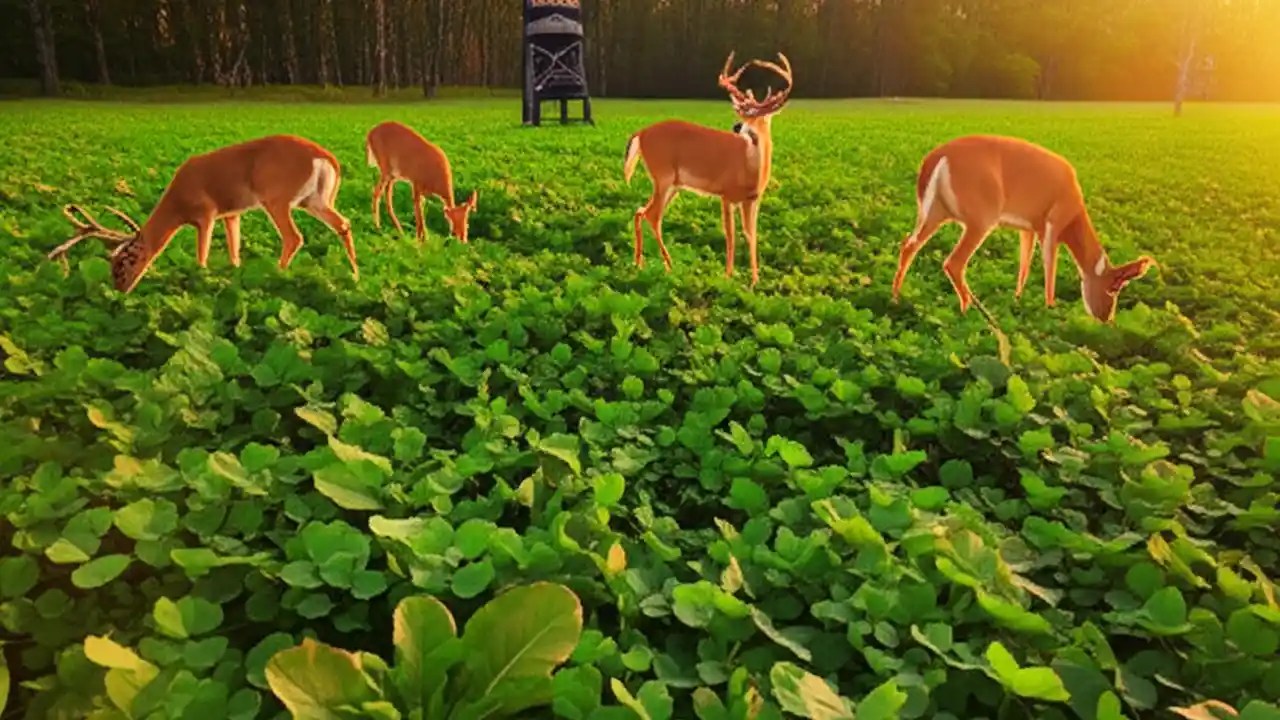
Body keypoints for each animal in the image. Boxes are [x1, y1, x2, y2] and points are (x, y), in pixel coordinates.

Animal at [49, 134, 358, 293]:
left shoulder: (206, 211)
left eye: (123, 263)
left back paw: (276, 276)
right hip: (313, 199)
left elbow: (202, 254)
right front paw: (233, 275)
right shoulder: (231, 213)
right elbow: (234, 249)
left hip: (277, 197)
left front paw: (202, 280)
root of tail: (326, 157)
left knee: (294, 237)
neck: (177, 203)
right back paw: (355, 276)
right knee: (343, 223)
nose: (119, 290)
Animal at [622, 51, 794, 287]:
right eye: (742, 113)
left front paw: (754, 281)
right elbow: (731, 234)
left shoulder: (753, 199)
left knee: (641, 211)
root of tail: (640, 133)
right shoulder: (726, 194)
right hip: (663, 175)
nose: (737, 126)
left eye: (759, 116)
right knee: (653, 215)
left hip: (673, 184)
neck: (750, 170)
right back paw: (669, 265)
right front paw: (728, 276)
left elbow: (752, 234)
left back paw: (639, 263)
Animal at [891, 134, 1155, 323]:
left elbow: (1024, 265)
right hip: (981, 217)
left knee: (908, 244)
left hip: (933, 212)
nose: (1107, 318)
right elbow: (1049, 265)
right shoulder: (1053, 222)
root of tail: (936, 159)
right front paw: (1050, 307)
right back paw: (969, 311)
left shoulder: (1028, 228)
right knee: (953, 261)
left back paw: (896, 298)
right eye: (1114, 288)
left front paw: (1017, 300)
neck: (1075, 215)